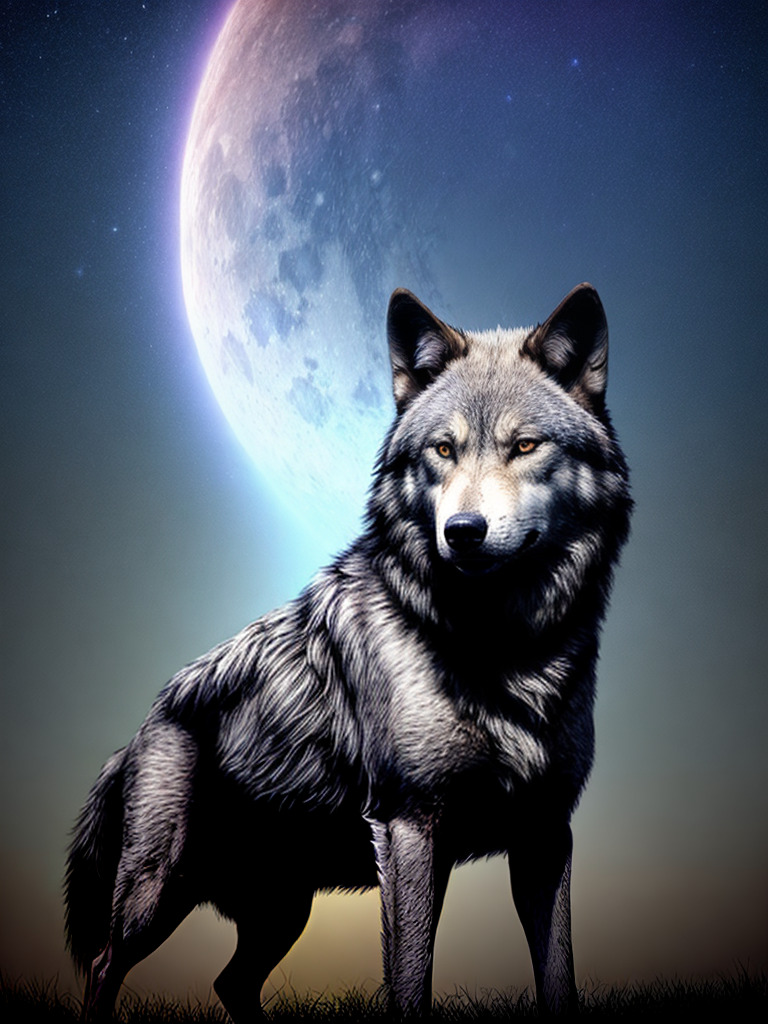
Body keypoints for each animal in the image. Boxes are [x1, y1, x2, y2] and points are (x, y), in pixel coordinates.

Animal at [65, 283, 631, 1020]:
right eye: (442, 449)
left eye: (526, 445)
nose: (463, 531)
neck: (506, 649)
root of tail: (140, 729)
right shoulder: (410, 825)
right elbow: (411, 981)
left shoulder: (544, 832)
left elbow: (559, 977)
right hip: (156, 895)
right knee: (106, 965)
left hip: (283, 911)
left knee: (229, 982)